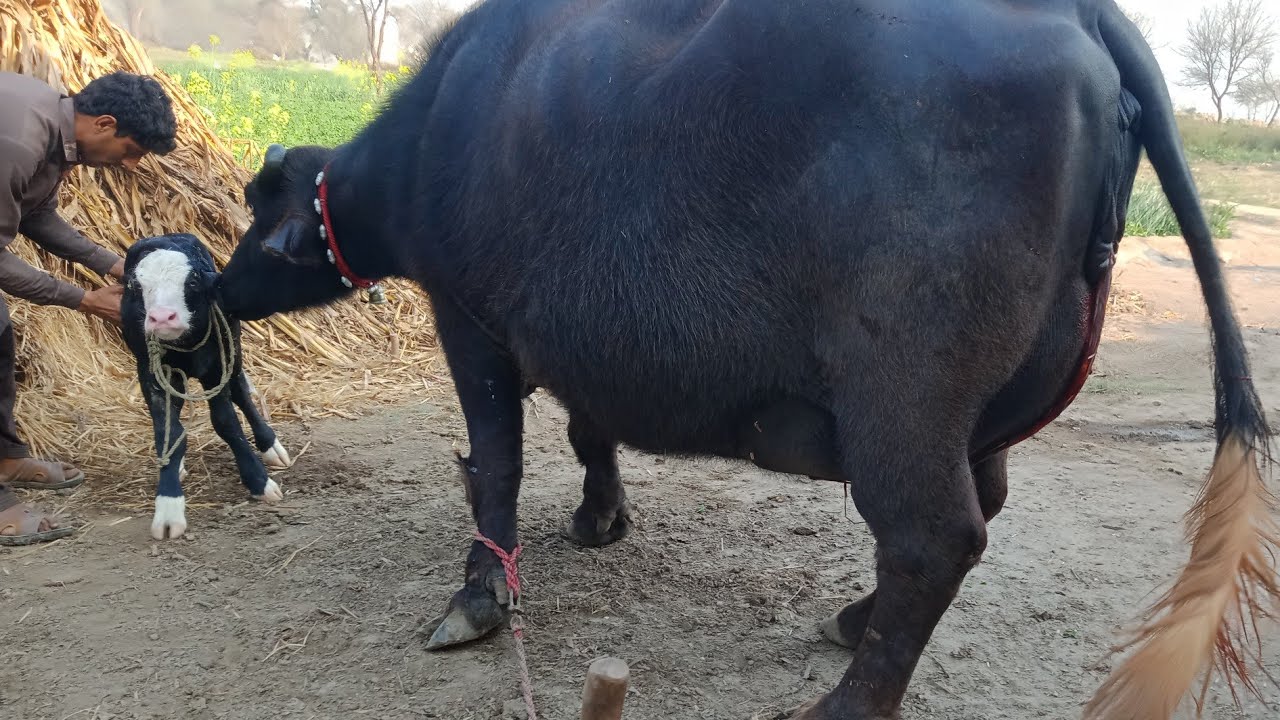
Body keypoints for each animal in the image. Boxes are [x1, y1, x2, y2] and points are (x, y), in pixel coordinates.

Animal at [121, 233, 291, 540]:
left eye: (192, 282)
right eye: (136, 286)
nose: (162, 317)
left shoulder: (217, 367)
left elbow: (226, 422)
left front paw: (258, 480)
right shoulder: (149, 372)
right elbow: (168, 430)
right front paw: (168, 504)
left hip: (234, 351)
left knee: (241, 393)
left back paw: (269, 445)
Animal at [213, 0, 1278, 717]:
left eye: (258, 211)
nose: (220, 288)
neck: (438, 129)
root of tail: (1080, 13)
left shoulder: (470, 323)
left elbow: (497, 466)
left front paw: (476, 599)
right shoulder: (585, 339)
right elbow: (587, 429)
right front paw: (601, 518)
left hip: (904, 391)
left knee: (936, 536)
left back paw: (845, 700)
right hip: (991, 403)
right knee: (981, 506)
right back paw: (852, 618)